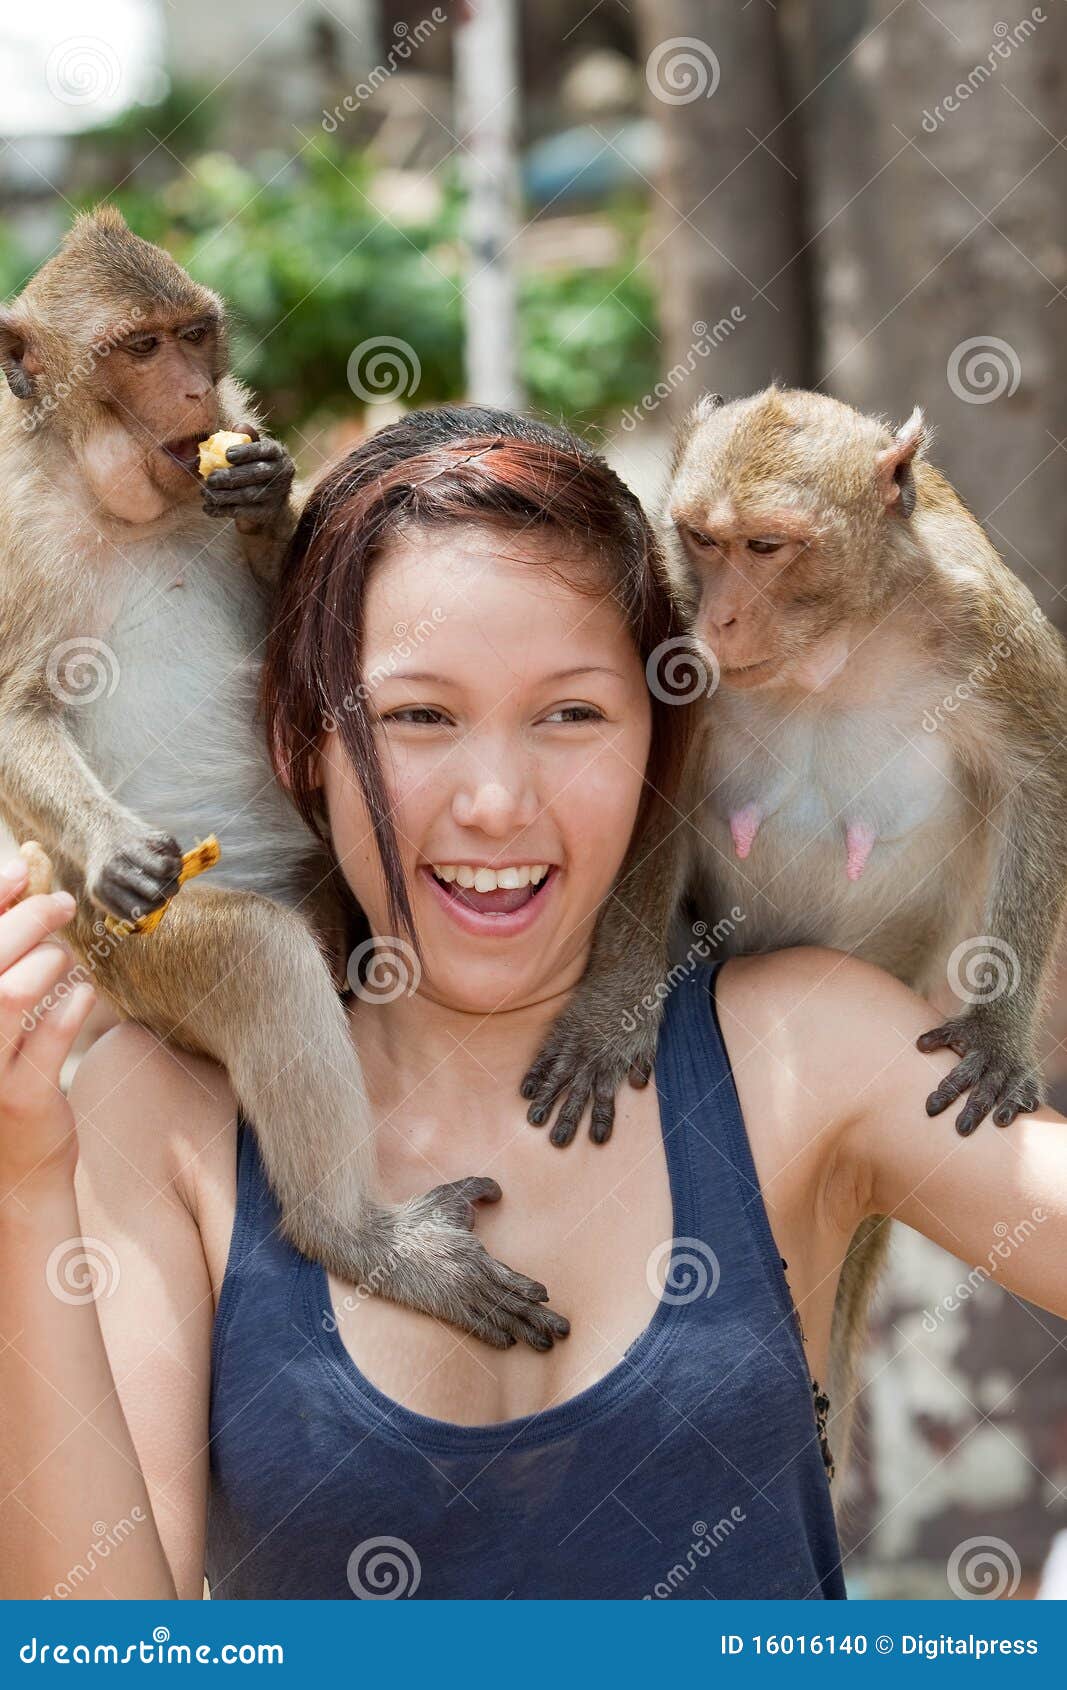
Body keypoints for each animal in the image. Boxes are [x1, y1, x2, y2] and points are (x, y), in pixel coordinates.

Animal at [0, 205, 567, 1352]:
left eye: (193, 336)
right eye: (139, 349)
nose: (192, 397)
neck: (104, 498)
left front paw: (263, 502)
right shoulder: (7, 529)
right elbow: (12, 709)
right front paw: (112, 848)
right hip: (140, 967)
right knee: (257, 958)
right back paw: (354, 1232)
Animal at [521, 384, 1067, 1442]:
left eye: (767, 546)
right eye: (702, 538)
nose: (725, 618)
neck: (838, 645)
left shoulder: (982, 619)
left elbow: (1042, 779)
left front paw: (997, 1032)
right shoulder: (670, 610)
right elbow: (656, 778)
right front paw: (613, 1012)